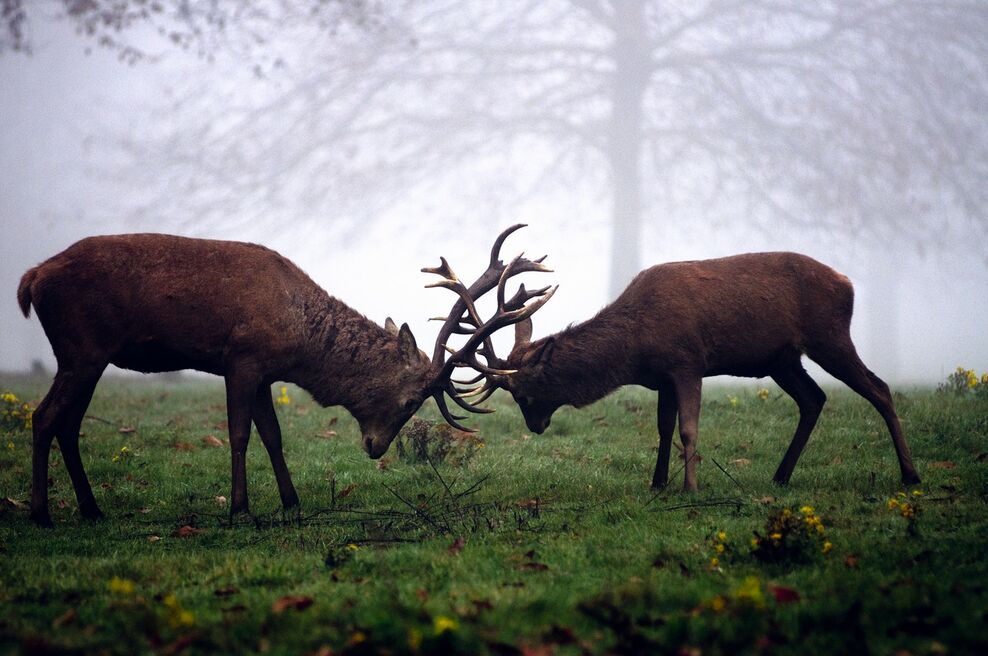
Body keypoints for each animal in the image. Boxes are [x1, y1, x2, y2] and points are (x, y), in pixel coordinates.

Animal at [18, 227, 553, 527]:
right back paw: (42, 515)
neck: (298, 337)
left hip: (86, 357)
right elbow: (239, 434)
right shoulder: (241, 357)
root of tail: (32, 279)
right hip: (80, 350)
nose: (375, 448)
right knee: (44, 418)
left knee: (67, 424)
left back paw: (91, 509)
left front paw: (291, 503)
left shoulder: (262, 372)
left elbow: (273, 435)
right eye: (409, 401)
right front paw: (239, 509)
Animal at [441, 251, 921, 492]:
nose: (535, 426)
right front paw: (657, 484)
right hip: (782, 359)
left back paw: (910, 474)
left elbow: (689, 429)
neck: (636, 348)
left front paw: (690, 488)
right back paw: (781, 476)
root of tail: (849, 284)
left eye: (523, 393)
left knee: (879, 388)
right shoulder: (662, 378)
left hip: (829, 336)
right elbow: (663, 428)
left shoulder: (687, 362)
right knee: (813, 399)